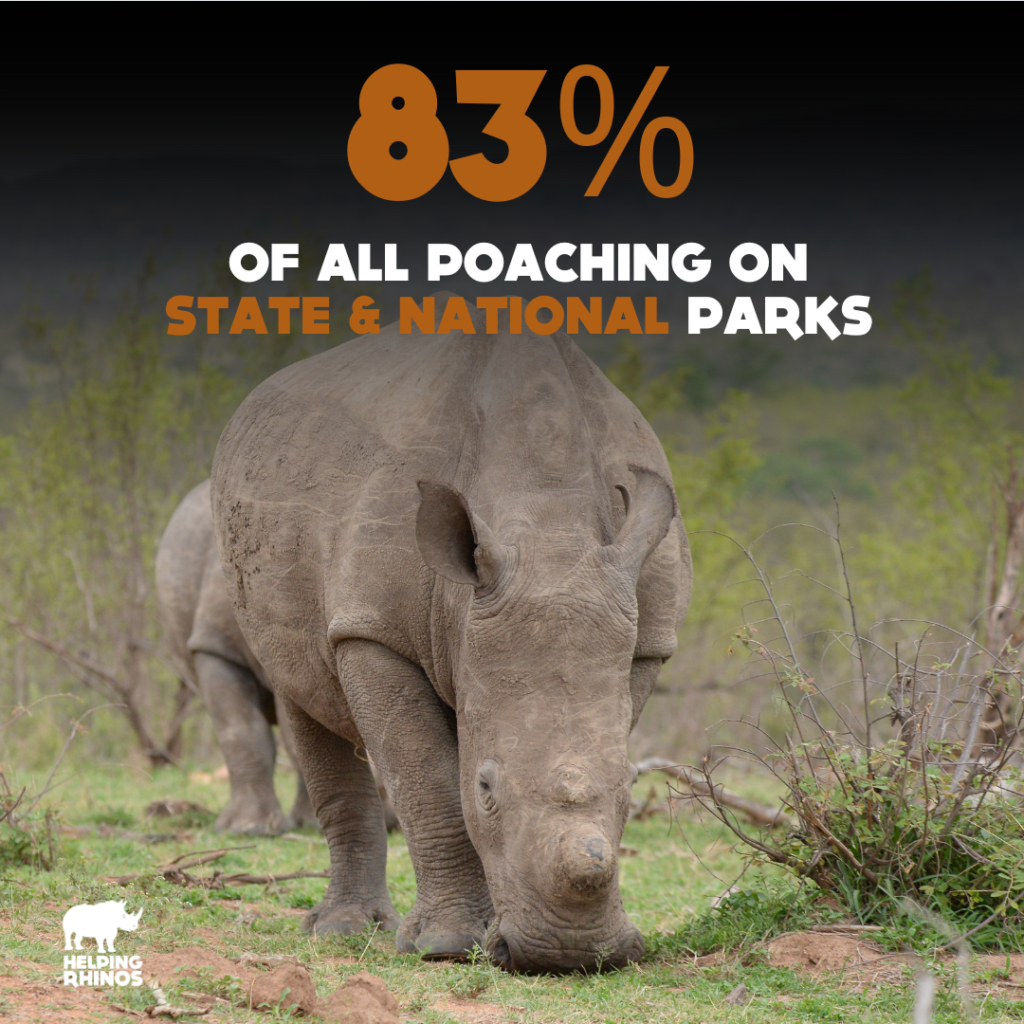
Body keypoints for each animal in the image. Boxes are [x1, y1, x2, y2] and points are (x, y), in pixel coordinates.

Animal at [211, 306, 691, 971]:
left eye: (633, 790)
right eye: (485, 789)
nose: (568, 954)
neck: (549, 528)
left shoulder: (646, 638)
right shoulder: (374, 630)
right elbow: (429, 778)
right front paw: (447, 946)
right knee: (302, 688)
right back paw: (341, 931)